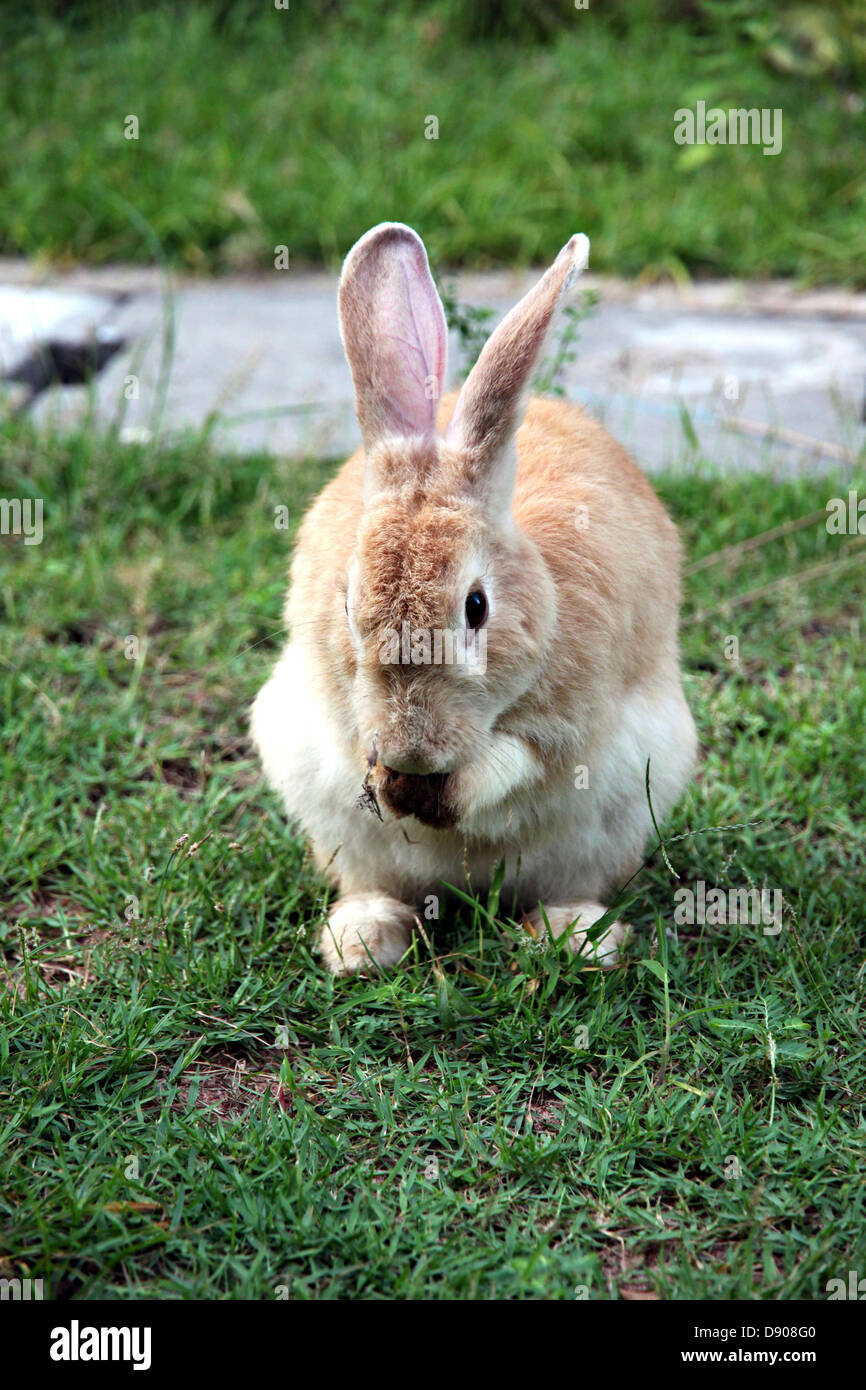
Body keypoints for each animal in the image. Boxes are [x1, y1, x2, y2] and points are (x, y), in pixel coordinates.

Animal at [251, 222, 697, 976]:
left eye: (476, 608)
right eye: (347, 608)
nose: (411, 750)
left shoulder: (567, 725)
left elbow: (517, 762)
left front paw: (444, 791)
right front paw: (387, 781)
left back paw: (573, 937)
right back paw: (363, 942)